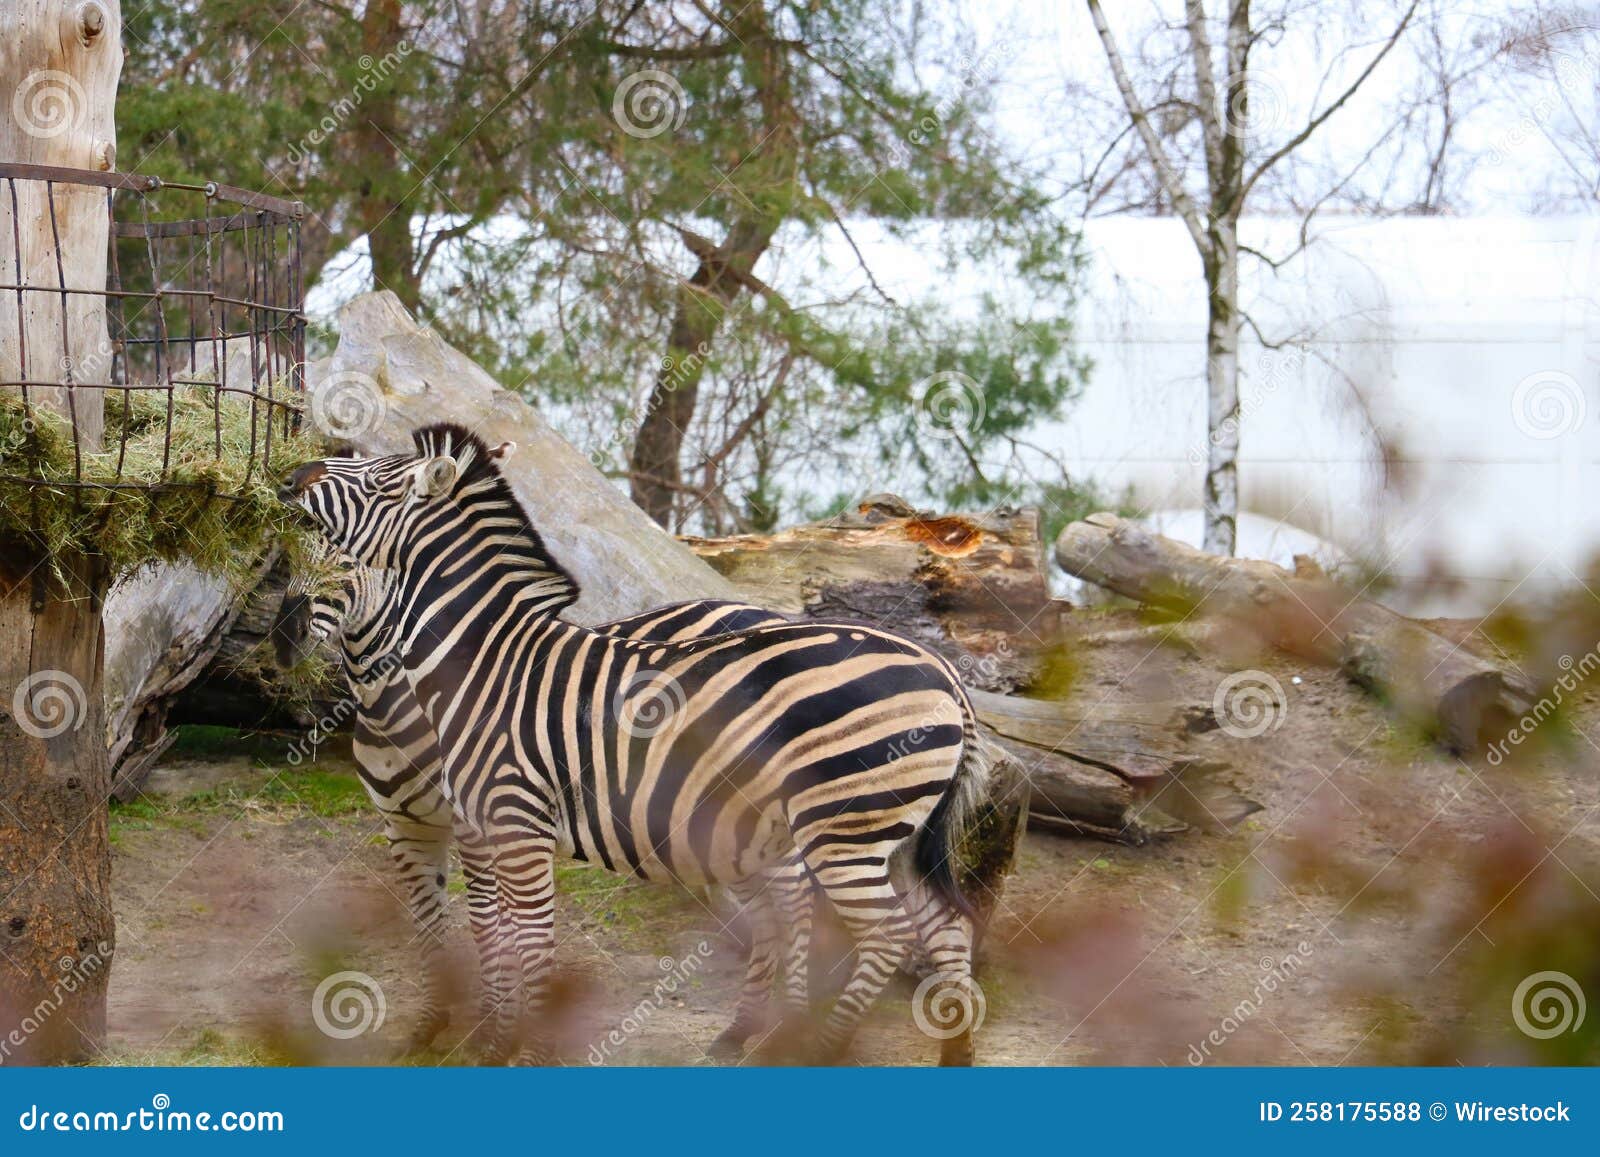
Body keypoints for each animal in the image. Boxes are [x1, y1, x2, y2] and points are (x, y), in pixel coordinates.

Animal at [270, 555, 817, 1060]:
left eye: (341, 562)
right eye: (290, 556)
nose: (283, 642)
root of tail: (761, 609)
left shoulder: (483, 824)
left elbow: (489, 921)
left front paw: (493, 1029)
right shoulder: (404, 827)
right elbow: (428, 926)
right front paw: (430, 1028)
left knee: (794, 898)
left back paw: (785, 1030)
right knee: (769, 907)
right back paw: (740, 1032)